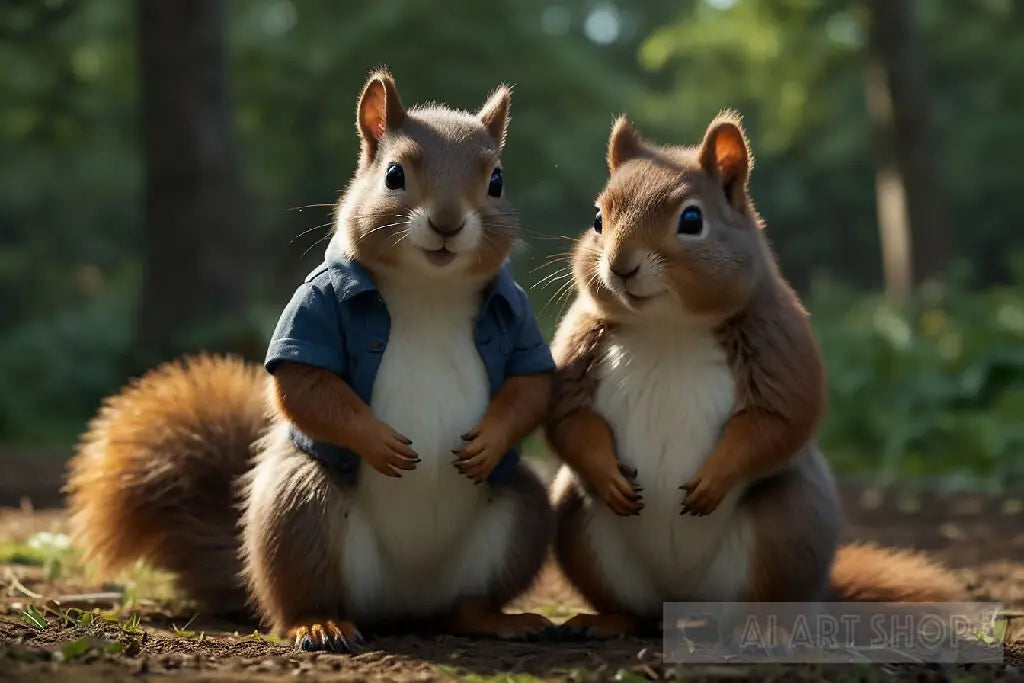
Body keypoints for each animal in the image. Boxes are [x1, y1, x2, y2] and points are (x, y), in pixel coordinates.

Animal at [66, 70, 557, 652]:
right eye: (394, 174)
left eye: (497, 181)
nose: (447, 223)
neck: (429, 290)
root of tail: (405, 602)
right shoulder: (311, 309)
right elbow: (304, 386)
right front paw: (377, 440)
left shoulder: (518, 316)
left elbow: (530, 387)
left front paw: (488, 441)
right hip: (300, 508)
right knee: (299, 598)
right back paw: (320, 624)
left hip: (522, 510)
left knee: (465, 602)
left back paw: (495, 618)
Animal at [545, 112, 964, 638]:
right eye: (598, 218)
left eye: (692, 221)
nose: (620, 267)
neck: (668, 326)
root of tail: (684, 602)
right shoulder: (578, 341)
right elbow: (565, 416)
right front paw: (607, 473)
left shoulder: (778, 339)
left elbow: (782, 417)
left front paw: (713, 478)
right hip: (580, 525)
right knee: (638, 608)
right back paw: (609, 621)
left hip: (786, 527)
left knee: (766, 600)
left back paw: (759, 629)